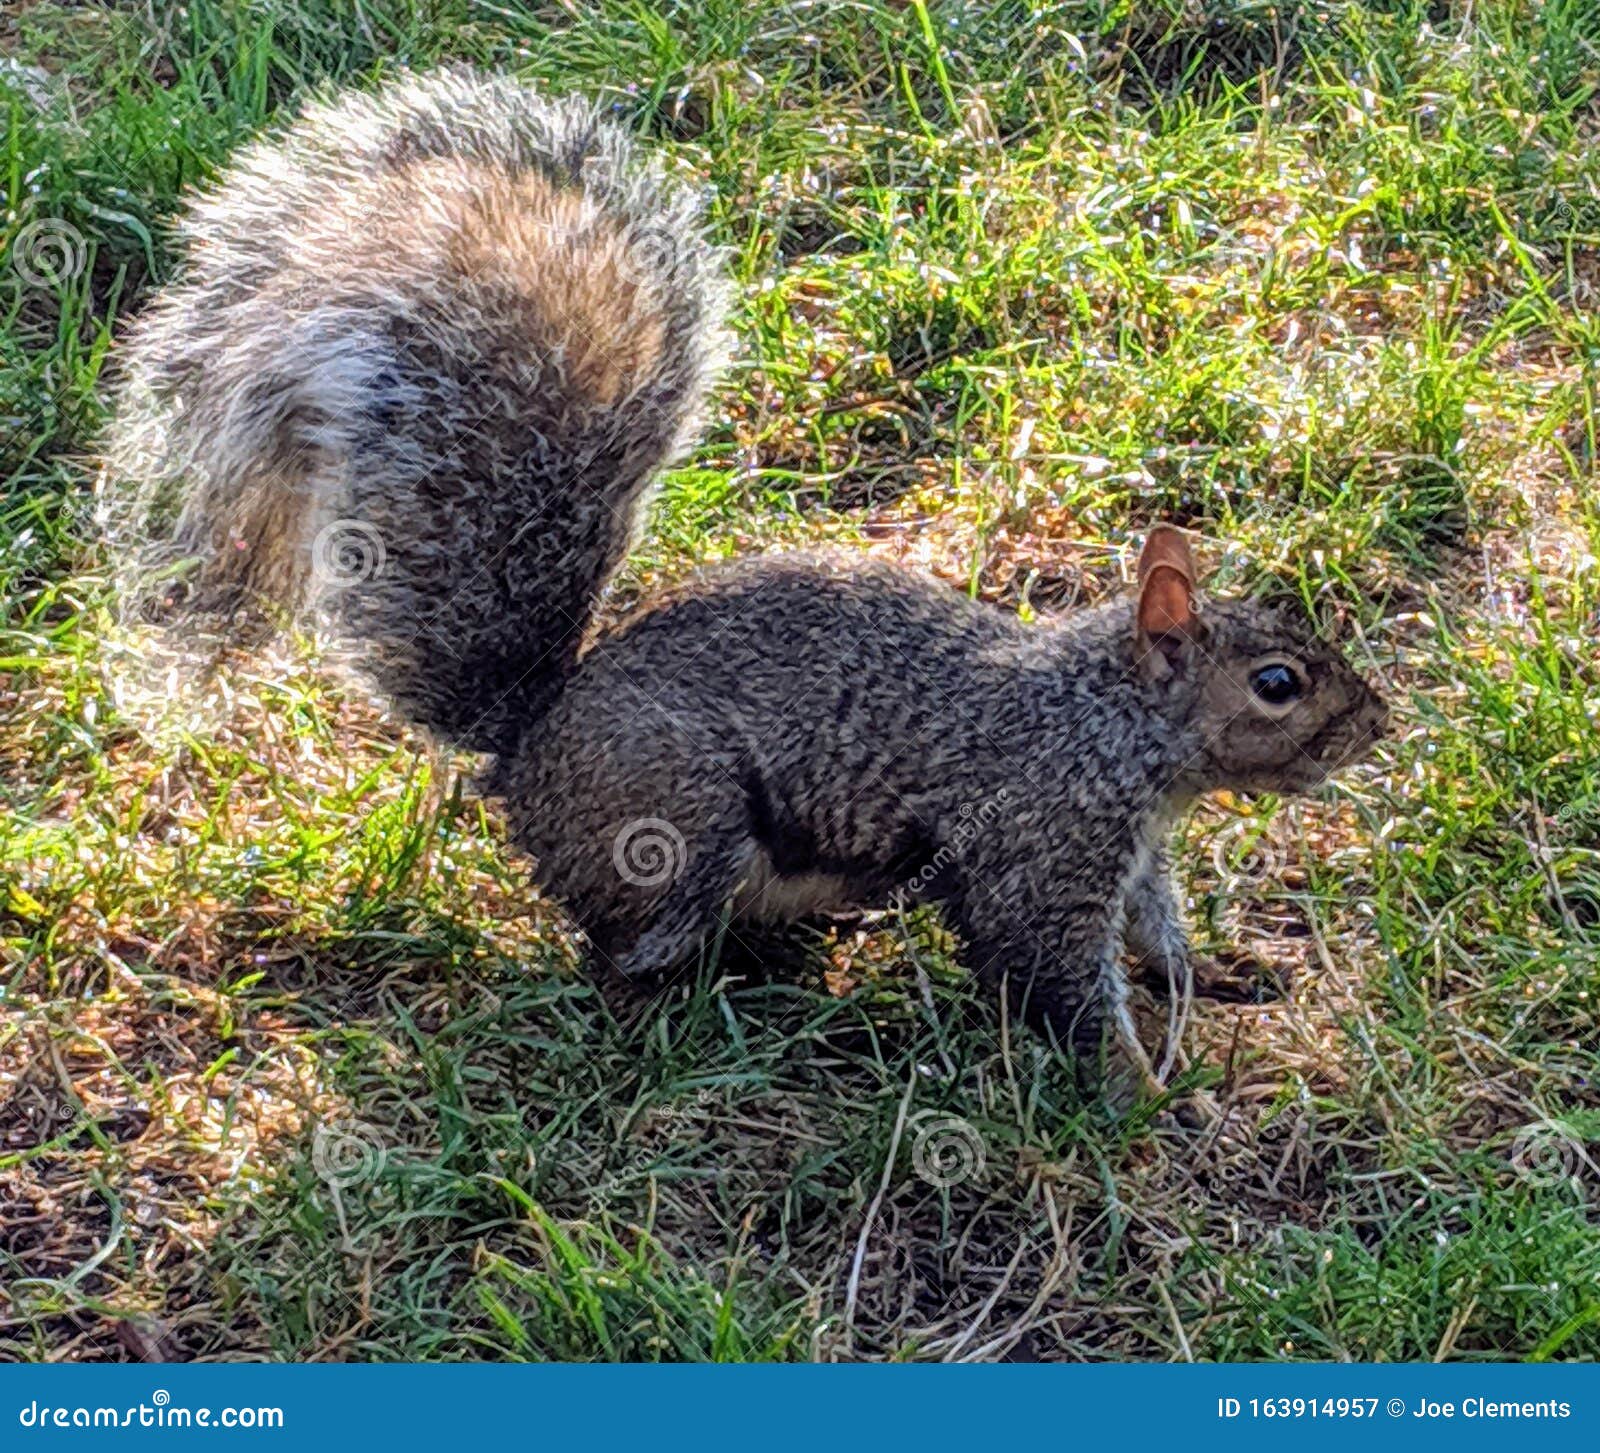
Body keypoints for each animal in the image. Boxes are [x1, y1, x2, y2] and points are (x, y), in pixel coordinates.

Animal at [100, 67, 1390, 1079]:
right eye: (1277, 683)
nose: (1376, 722)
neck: (1110, 719)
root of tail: (527, 748)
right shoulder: (1040, 837)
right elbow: (1051, 974)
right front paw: (1140, 1097)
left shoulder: (1132, 855)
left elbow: (1154, 936)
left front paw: (1212, 978)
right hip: (678, 818)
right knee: (620, 952)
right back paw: (683, 1009)